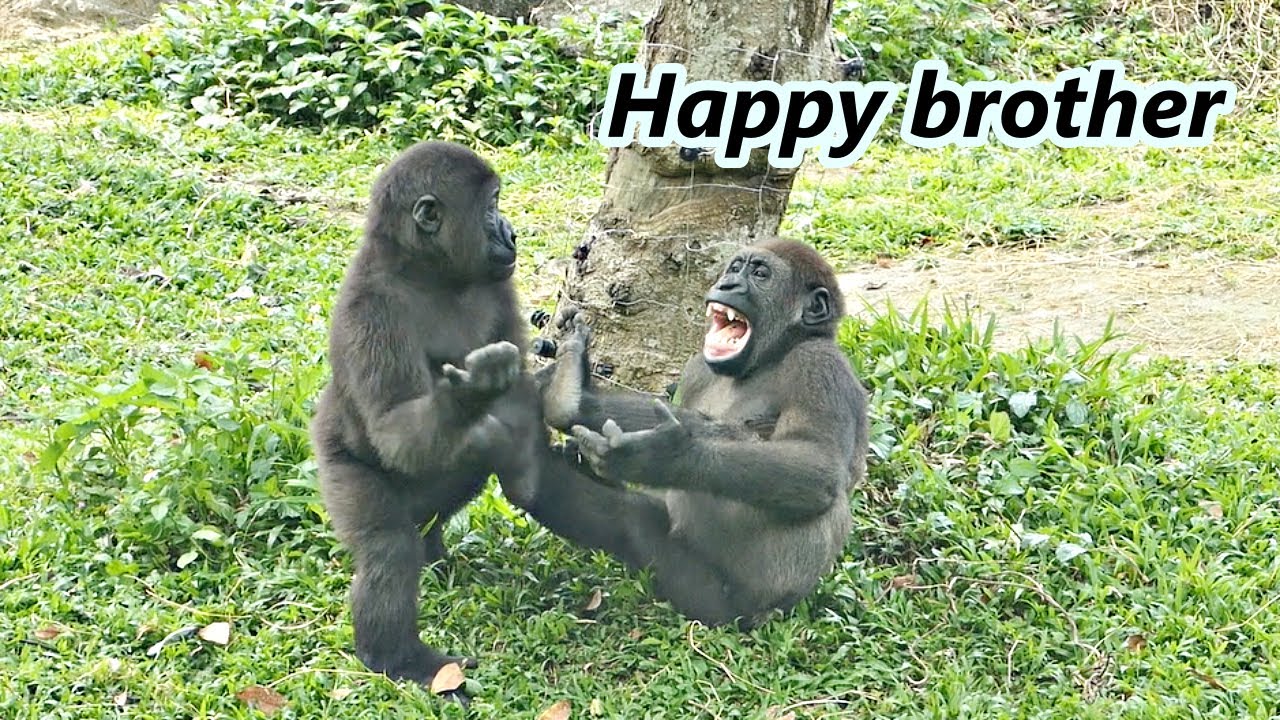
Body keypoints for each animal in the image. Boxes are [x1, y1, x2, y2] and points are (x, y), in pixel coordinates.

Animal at [310, 141, 542, 686]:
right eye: (491, 206)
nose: (511, 232)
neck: (422, 270)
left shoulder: (498, 284)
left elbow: (518, 394)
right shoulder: (373, 308)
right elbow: (393, 423)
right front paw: (465, 396)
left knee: (463, 470)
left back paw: (433, 546)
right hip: (338, 465)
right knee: (389, 545)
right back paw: (398, 658)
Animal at [512, 239, 868, 628]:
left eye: (760, 273)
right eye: (735, 268)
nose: (728, 284)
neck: (772, 354)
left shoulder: (819, 366)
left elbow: (817, 461)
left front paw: (664, 458)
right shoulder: (697, 368)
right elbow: (687, 417)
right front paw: (575, 399)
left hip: (723, 607)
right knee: (626, 517)